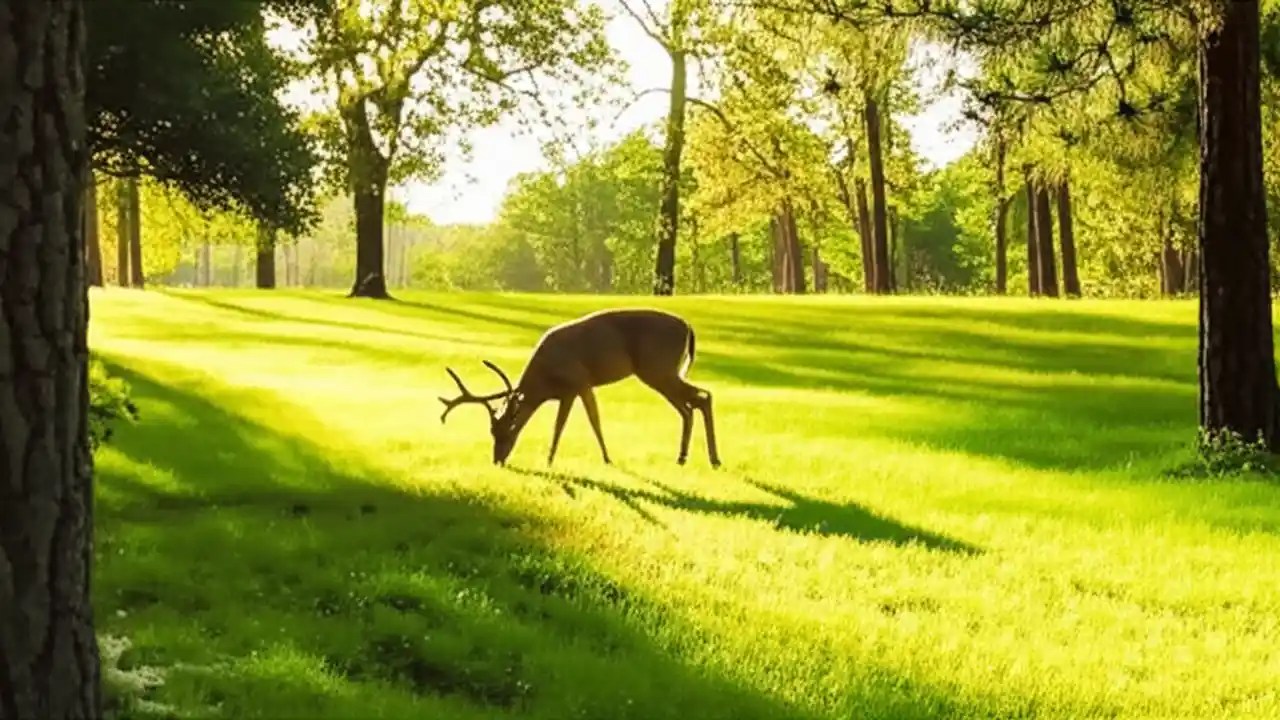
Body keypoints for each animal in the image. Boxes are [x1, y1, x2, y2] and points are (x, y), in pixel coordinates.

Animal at [438, 308, 721, 468]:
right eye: (491, 432)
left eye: (507, 430)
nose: (497, 460)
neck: (544, 380)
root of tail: (689, 327)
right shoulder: (575, 389)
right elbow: (581, 422)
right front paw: (602, 458)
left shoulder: (577, 382)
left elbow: (572, 423)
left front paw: (554, 460)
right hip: (662, 372)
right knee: (690, 406)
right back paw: (684, 457)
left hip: (658, 368)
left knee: (702, 397)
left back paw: (713, 459)